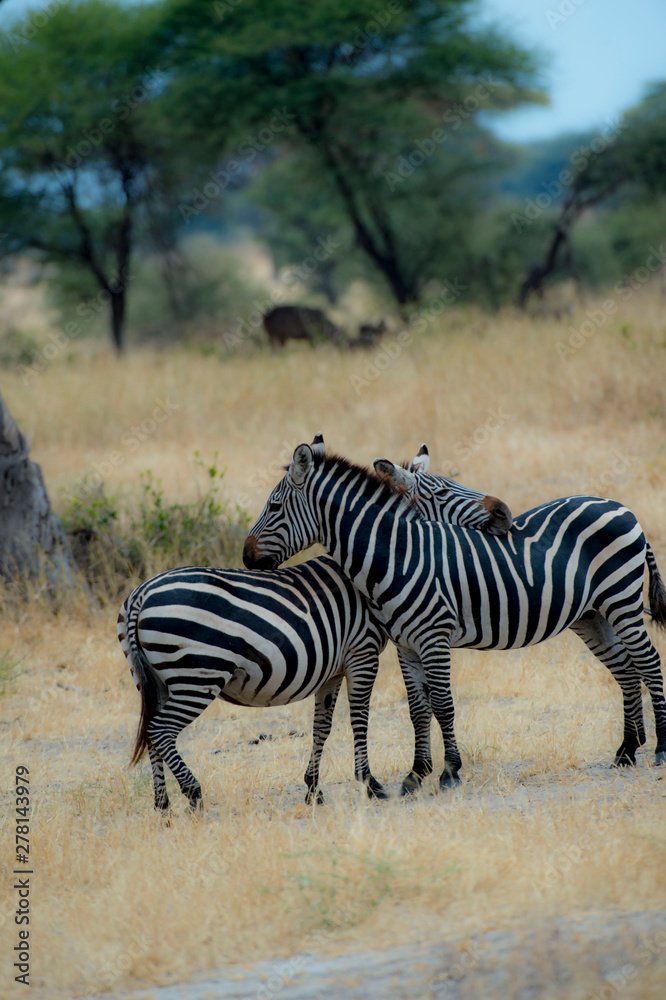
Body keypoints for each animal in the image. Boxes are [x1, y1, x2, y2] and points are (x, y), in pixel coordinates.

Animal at [118, 436, 511, 811]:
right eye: (443, 492)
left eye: (273, 506)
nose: (504, 513)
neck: (372, 570)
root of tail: (140, 594)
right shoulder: (362, 652)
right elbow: (359, 717)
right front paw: (370, 785)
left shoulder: (333, 667)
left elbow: (322, 726)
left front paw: (313, 791)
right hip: (196, 675)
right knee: (161, 731)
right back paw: (193, 793)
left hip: (156, 680)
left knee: (151, 733)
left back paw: (163, 806)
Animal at [243, 438, 666, 794]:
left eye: (274, 507)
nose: (246, 556)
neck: (399, 554)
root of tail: (617, 505)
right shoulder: (405, 645)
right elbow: (417, 708)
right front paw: (416, 774)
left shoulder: (434, 637)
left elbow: (443, 703)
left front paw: (450, 772)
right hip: (592, 614)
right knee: (626, 668)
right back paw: (627, 750)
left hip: (622, 599)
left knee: (649, 661)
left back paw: (660, 748)